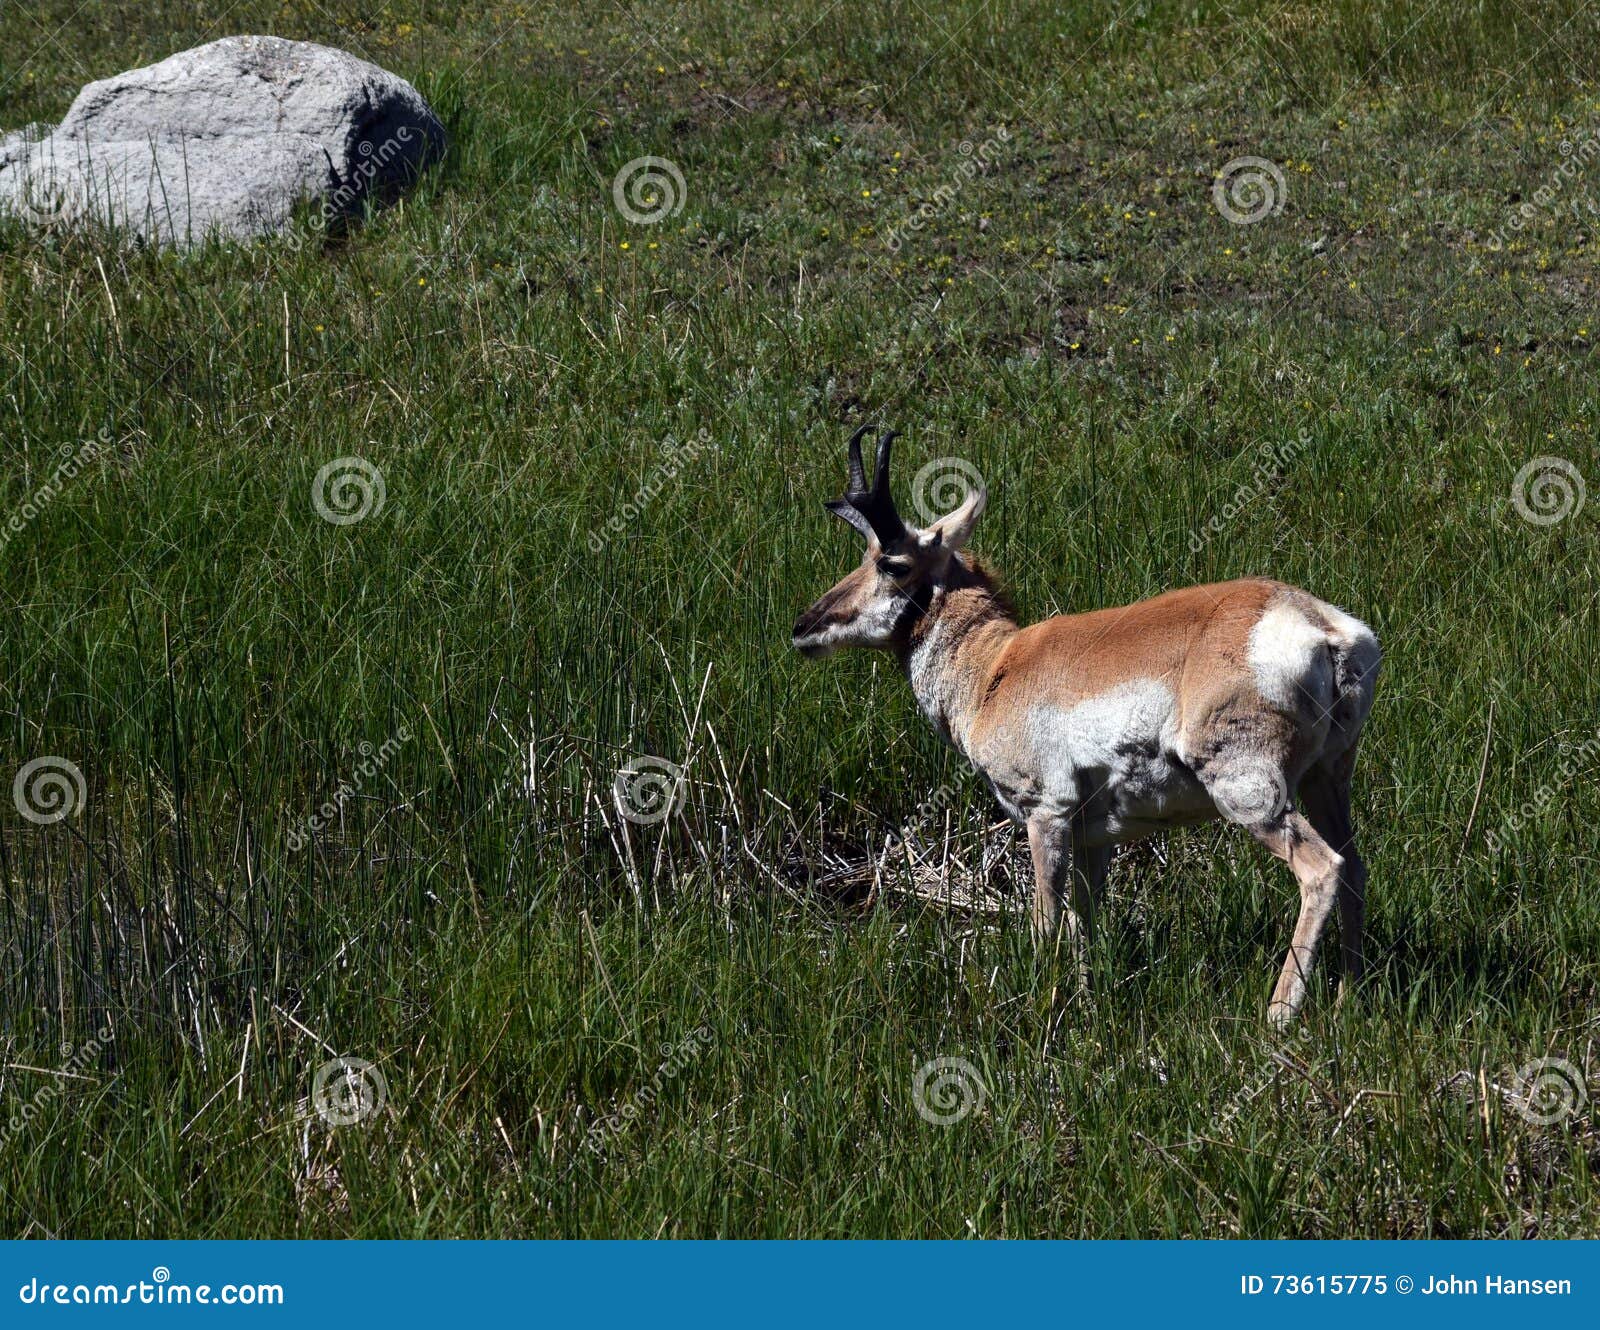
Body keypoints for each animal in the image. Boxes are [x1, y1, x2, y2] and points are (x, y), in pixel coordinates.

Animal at [791, 426, 1380, 1028]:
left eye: (892, 562)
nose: (803, 626)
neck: (997, 667)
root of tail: (1319, 625)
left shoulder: (1045, 815)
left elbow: (1047, 922)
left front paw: (1044, 1008)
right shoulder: (1097, 838)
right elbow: (1085, 925)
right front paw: (1088, 1007)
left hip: (1249, 792)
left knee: (1322, 869)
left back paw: (1279, 1016)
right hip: (1328, 778)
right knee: (1354, 868)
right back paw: (1348, 1001)